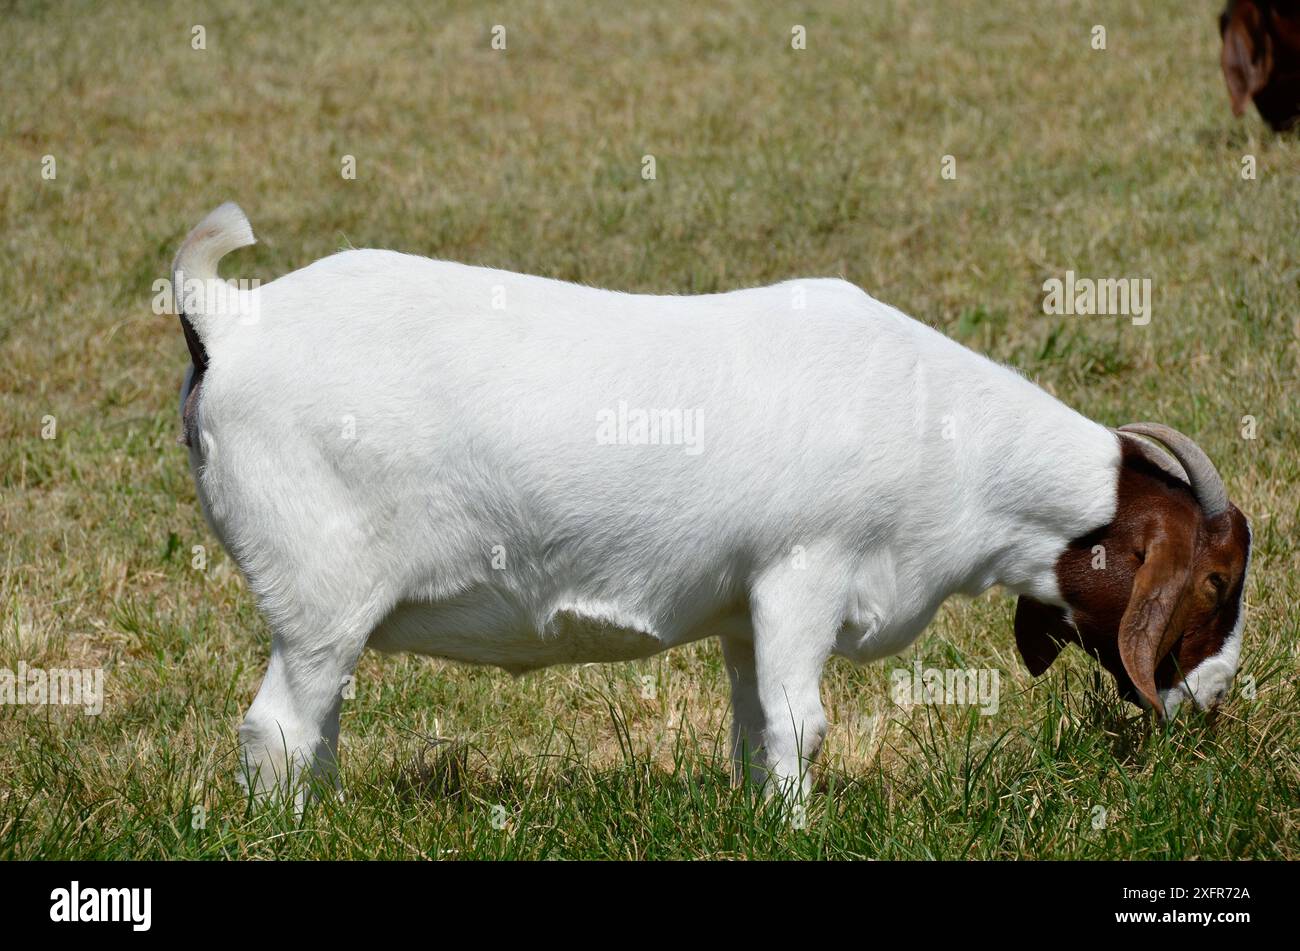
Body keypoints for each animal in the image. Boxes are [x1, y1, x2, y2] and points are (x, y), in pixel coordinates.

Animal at [172, 203, 1253, 801]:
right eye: (1215, 581)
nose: (1214, 699)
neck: (940, 430)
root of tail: (230, 321)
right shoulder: (806, 570)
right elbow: (803, 723)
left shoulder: (748, 608)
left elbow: (756, 727)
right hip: (319, 589)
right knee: (277, 726)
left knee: (315, 724)